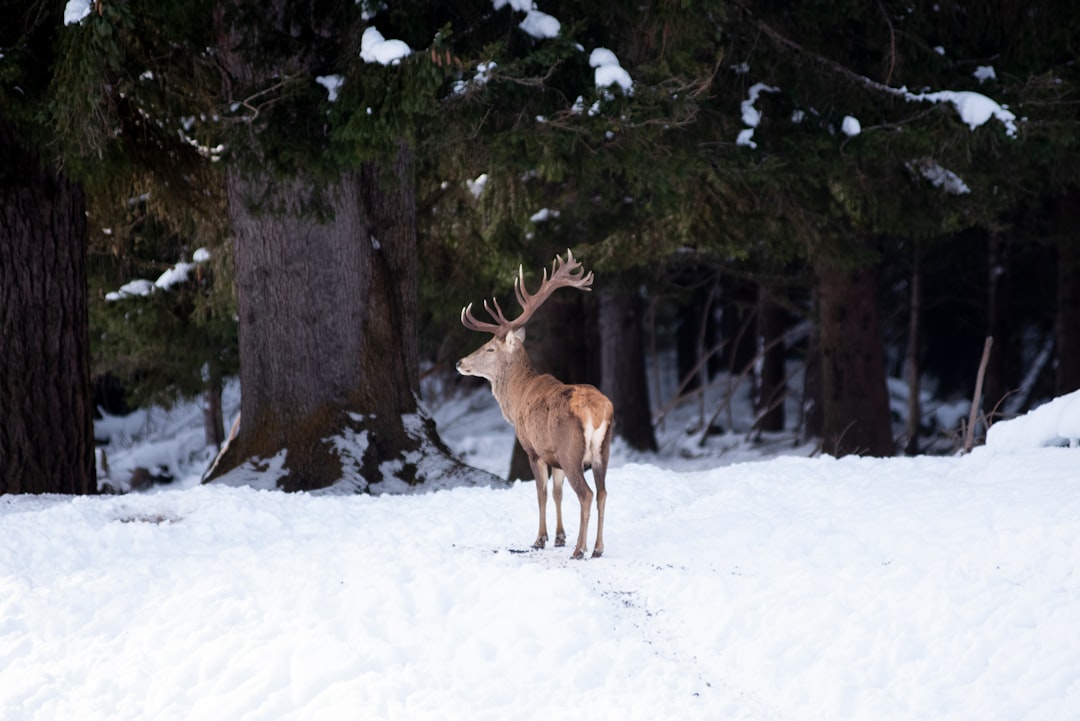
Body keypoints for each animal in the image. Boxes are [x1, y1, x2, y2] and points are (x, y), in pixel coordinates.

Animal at [457, 250, 614, 559]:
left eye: (489, 347)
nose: (459, 362)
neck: (516, 400)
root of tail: (597, 412)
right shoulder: (553, 456)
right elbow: (557, 492)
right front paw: (560, 536)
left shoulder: (533, 448)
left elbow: (541, 492)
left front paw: (541, 538)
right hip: (603, 451)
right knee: (602, 492)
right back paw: (598, 548)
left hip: (571, 450)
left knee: (587, 494)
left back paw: (580, 549)